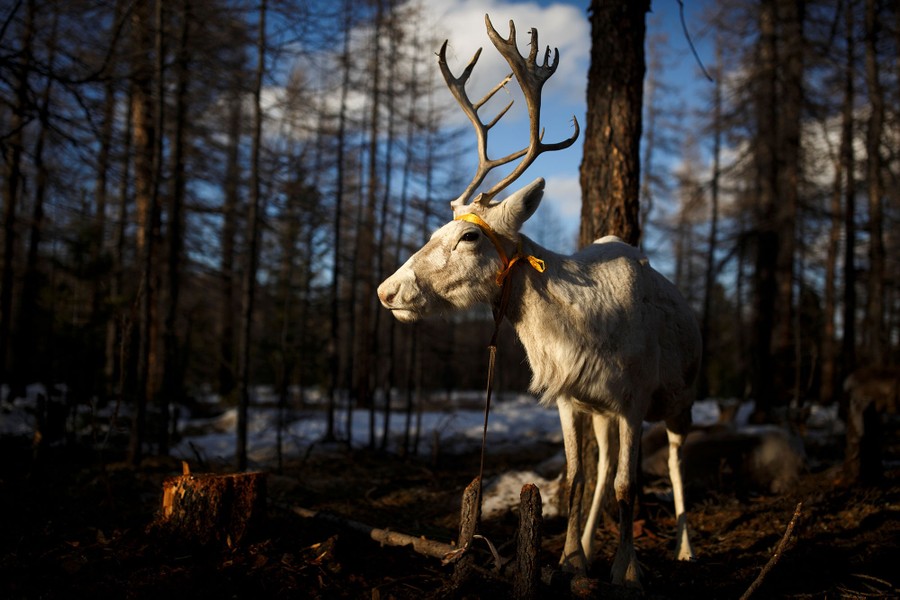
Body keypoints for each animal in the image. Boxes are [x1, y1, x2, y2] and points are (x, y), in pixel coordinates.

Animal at [377, 15, 701, 587]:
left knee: (677, 460)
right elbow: (575, 478)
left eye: (470, 237)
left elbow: (629, 485)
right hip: (603, 411)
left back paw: (684, 549)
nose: (386, 290)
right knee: (601, 471)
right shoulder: (573, 398)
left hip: (683, 396)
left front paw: (628, 571)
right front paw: (570, 560)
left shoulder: (635, 398)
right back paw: (590, 547)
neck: (577, 332)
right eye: (437, 230)